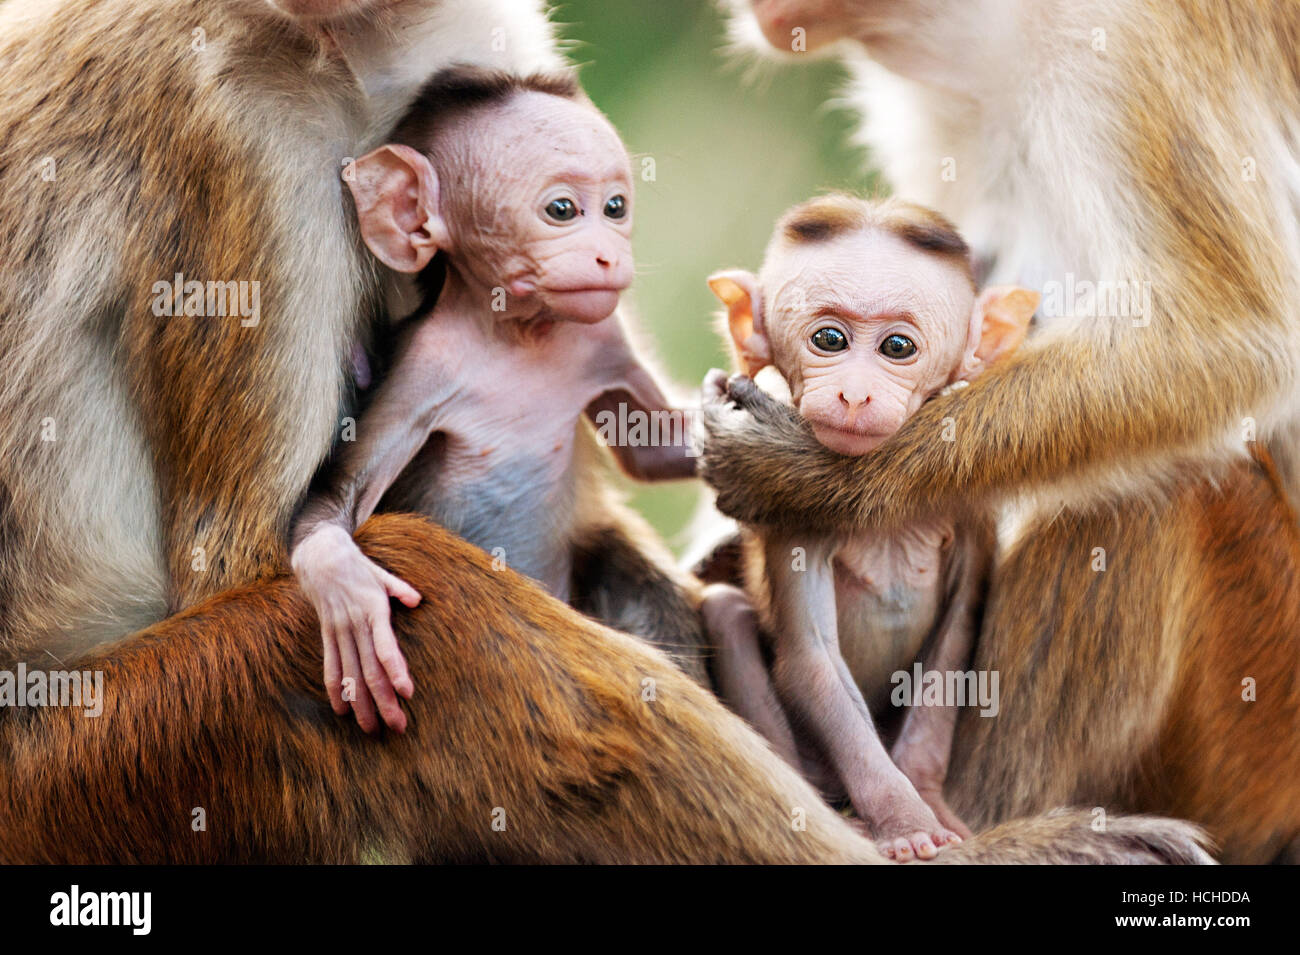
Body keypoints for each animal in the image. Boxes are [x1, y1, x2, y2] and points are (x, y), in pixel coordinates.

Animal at [290, 68, 706, 732]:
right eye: (562, 210)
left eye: (615, 208)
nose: (611, 254)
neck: (517, 333)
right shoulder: (423, 367)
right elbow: (337, 497)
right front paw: (344, 584)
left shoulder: (601, 337)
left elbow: (658, 453)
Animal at [699, 194, 1039, 861]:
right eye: (828, 339)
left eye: (898, 348)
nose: (854, 395)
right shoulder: (791, 518)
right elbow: (813, 662)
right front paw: (903, 822)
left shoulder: (970, 503)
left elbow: (953, 643)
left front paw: (925, 797)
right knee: (727, 612)